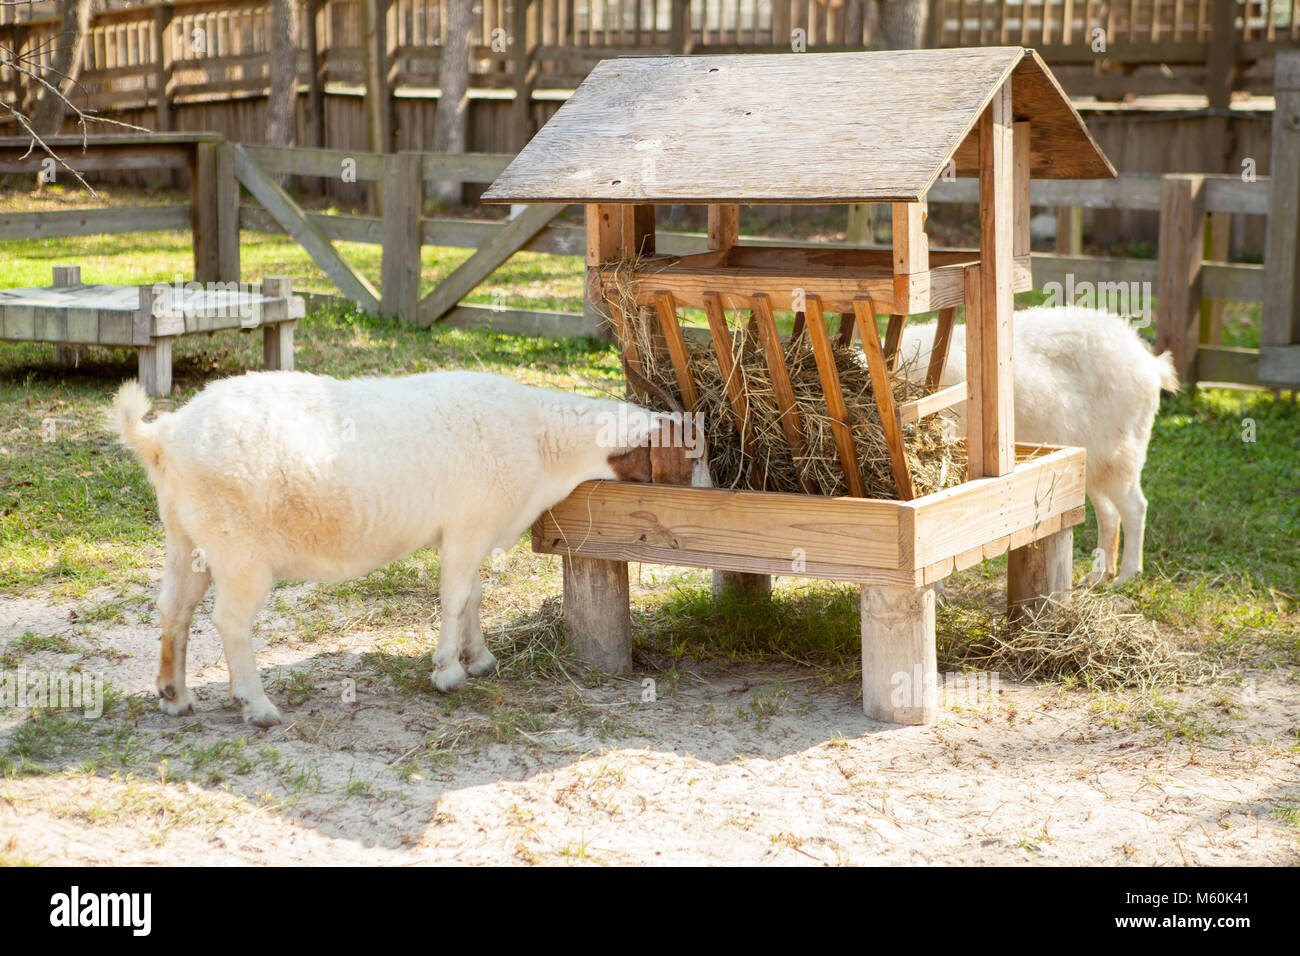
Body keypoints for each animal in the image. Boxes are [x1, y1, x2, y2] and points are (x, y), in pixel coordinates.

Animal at [111, 370, 703, 726]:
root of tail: (164, 435)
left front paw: (479, 658)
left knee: (174, 610)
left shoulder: (469, 530)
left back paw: (175, 695)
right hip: (240, 550)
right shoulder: (468, 526)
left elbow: (473, 597)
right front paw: (447, 671)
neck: (540, 440)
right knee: (230, 622)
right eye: (687, 454)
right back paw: (257, 706)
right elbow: (455, 598)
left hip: (186, 538)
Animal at [897, 305, 1180, 584]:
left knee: (1135, 508)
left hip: (1122, 452)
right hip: (1096, 459)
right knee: (1109, 513)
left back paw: (1128, 575)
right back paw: (1099, 576)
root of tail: (1150, 363)